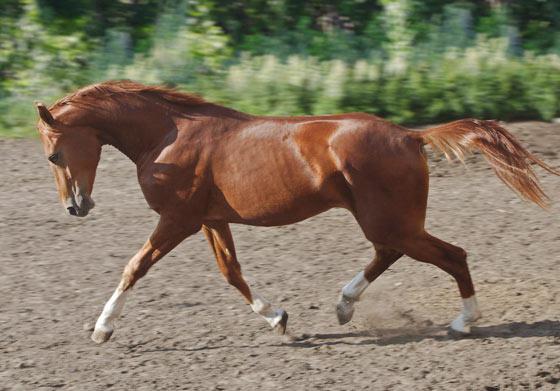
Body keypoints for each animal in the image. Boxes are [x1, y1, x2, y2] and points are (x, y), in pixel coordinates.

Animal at [37, 81, 556, 344]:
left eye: (54, 155)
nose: (75, 207)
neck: (168, 136)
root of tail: (410, 135)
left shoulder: (177, 220)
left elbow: (134, 266)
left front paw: (102, 329)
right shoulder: (211, 220)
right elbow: (232, 273)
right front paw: (278, 319)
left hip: (391, 220)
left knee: (451, 255)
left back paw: (464, 321)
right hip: (387, 220)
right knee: (390, 253)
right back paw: (344, 306)